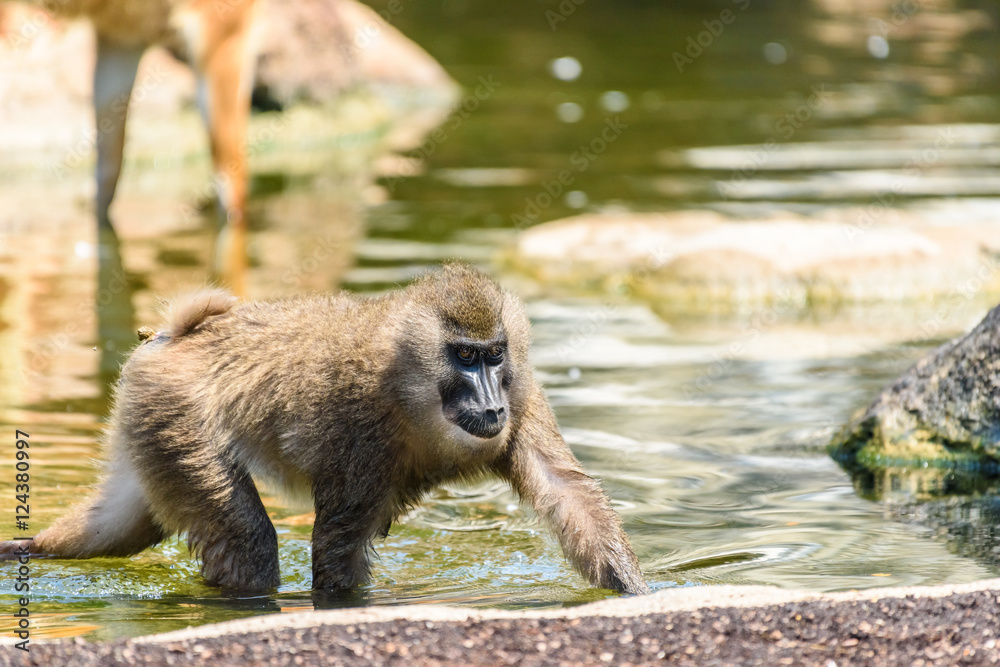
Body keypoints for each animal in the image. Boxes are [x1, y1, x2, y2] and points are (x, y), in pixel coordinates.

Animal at [1, 265, 649, 596]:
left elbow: (565, 490)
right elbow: (336, 548)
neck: (414, 386)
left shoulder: (524, 395)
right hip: (178, 419)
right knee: (249, 547)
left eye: (493, 356)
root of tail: (178, 336)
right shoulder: (361, 428)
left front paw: (639, 594)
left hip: (148, 422)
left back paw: (28, 550)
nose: (491, 407)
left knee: (123, 527)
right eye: (463, 357)